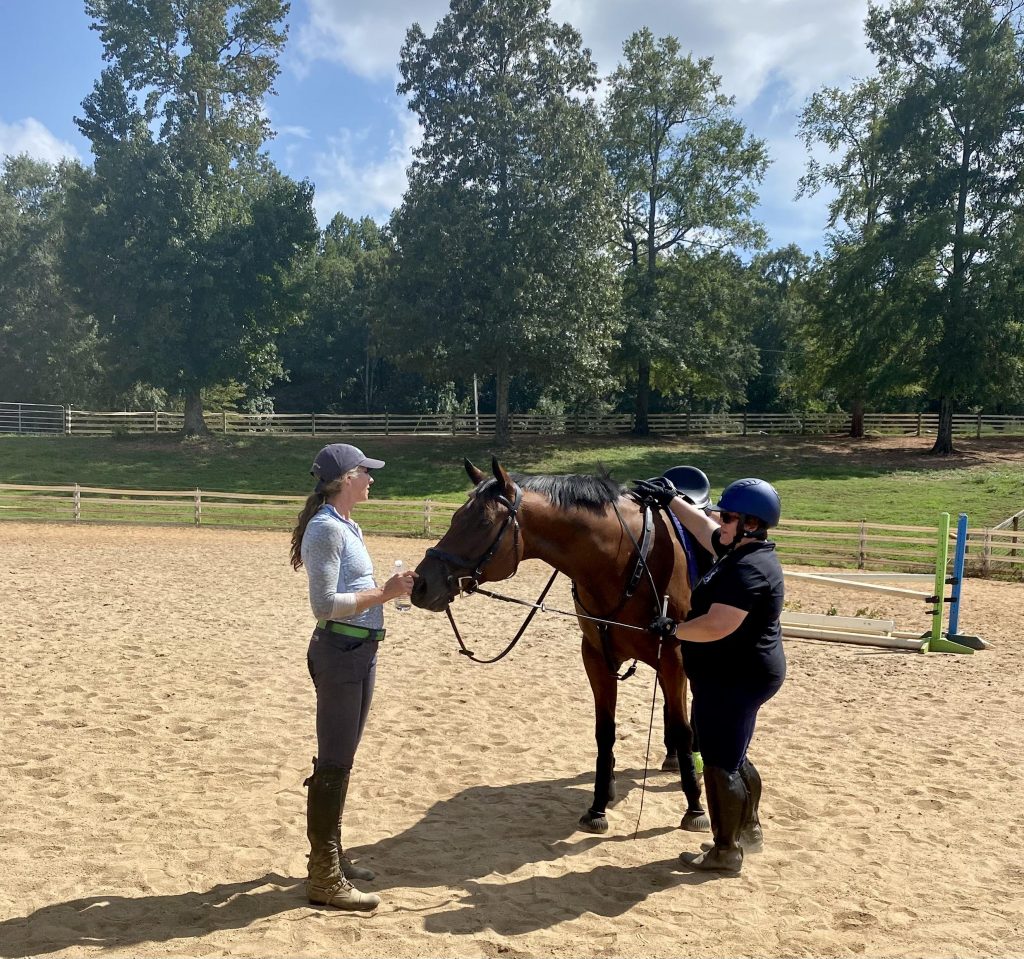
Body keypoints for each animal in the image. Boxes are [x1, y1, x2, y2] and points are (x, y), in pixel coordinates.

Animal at [411, 456, 709, 835]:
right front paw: (598, 805)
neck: (628, 560)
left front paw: (695, 806)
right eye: (455, 518)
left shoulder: (673, 658)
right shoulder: (596, 658)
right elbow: (604, 733)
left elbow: (684, 731)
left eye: (483, 522)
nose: (420, 584)